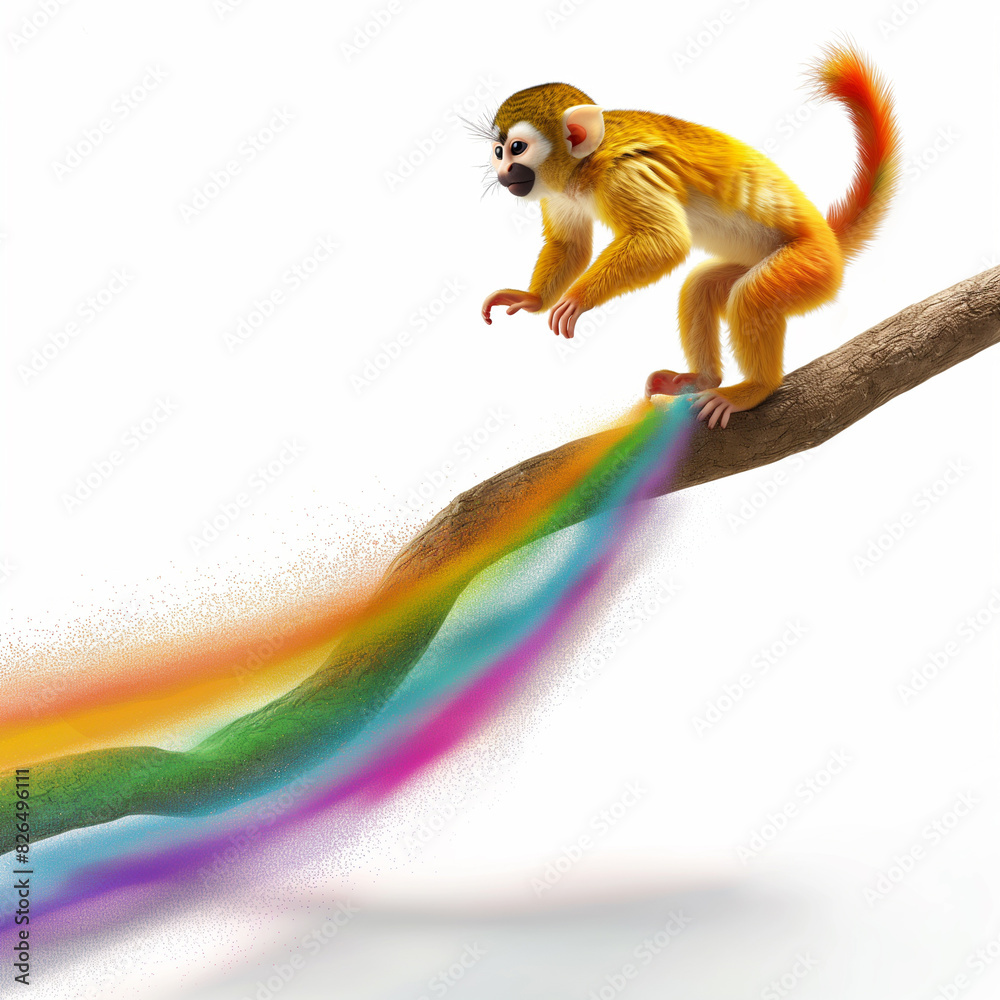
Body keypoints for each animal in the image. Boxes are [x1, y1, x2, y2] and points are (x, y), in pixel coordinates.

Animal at [479, 42, 901, 428]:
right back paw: (703, 378)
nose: (502, 174)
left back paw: (755, 388)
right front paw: (530, 299)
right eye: (498, 152)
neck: (583, 168)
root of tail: (828, 240)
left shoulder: (624, 175)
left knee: (751, 297)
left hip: (811, 265)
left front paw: (577, 298)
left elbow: (664, 241)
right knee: (701, 286)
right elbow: (570, 245)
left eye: (517, 148)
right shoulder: (559, 192)